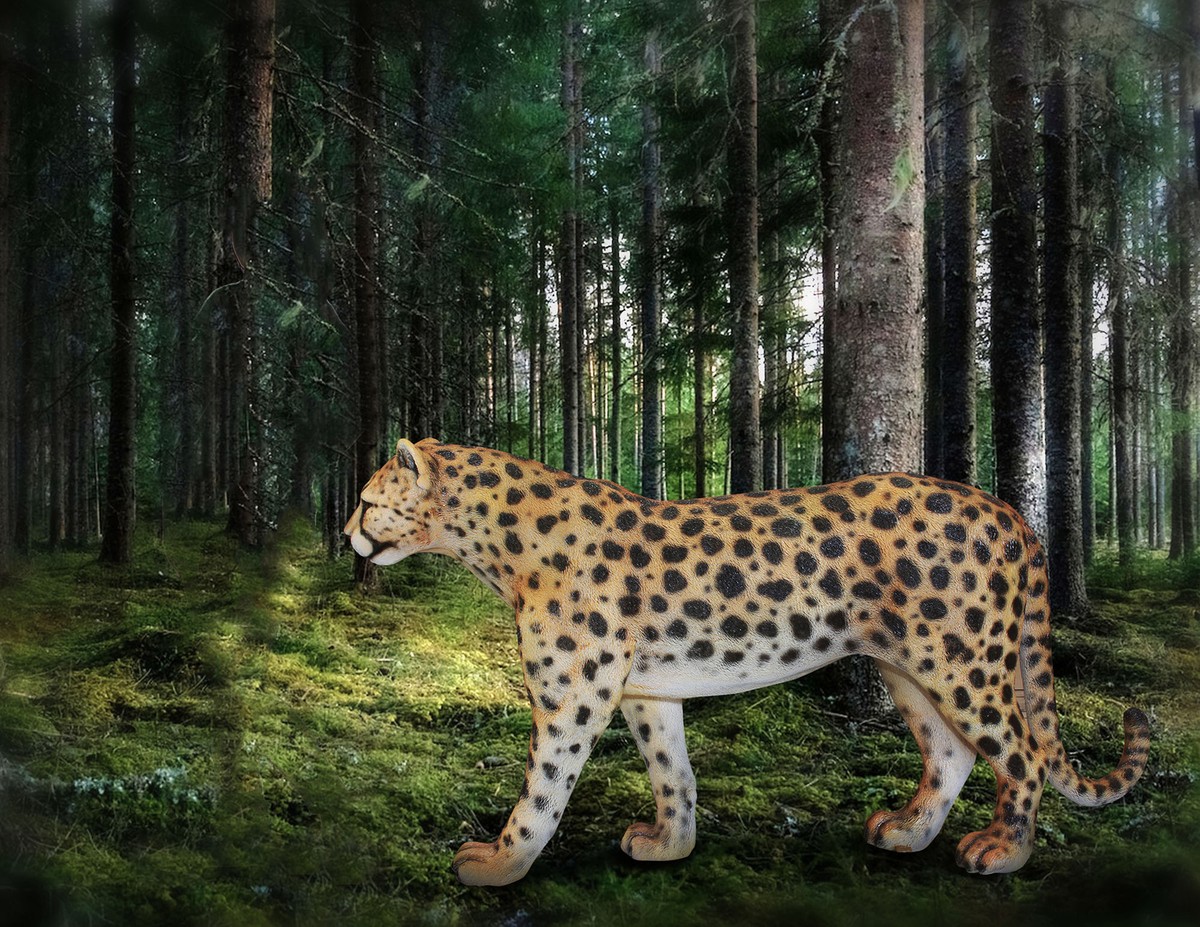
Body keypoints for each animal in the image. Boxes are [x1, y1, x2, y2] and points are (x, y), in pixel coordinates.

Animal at [345, 438, 1150, 887]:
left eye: (367, 499)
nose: (347, 531)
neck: (496, 543)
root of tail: (1005, 507)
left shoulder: (574, 695)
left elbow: (542, 790)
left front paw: (497, 864)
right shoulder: (648, 692)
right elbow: (672, 771)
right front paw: (670, 844)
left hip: (964, 663)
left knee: (1021, 753)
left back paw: (1003, 850)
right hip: (909, 667)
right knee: (952, 752)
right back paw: (909, 831)